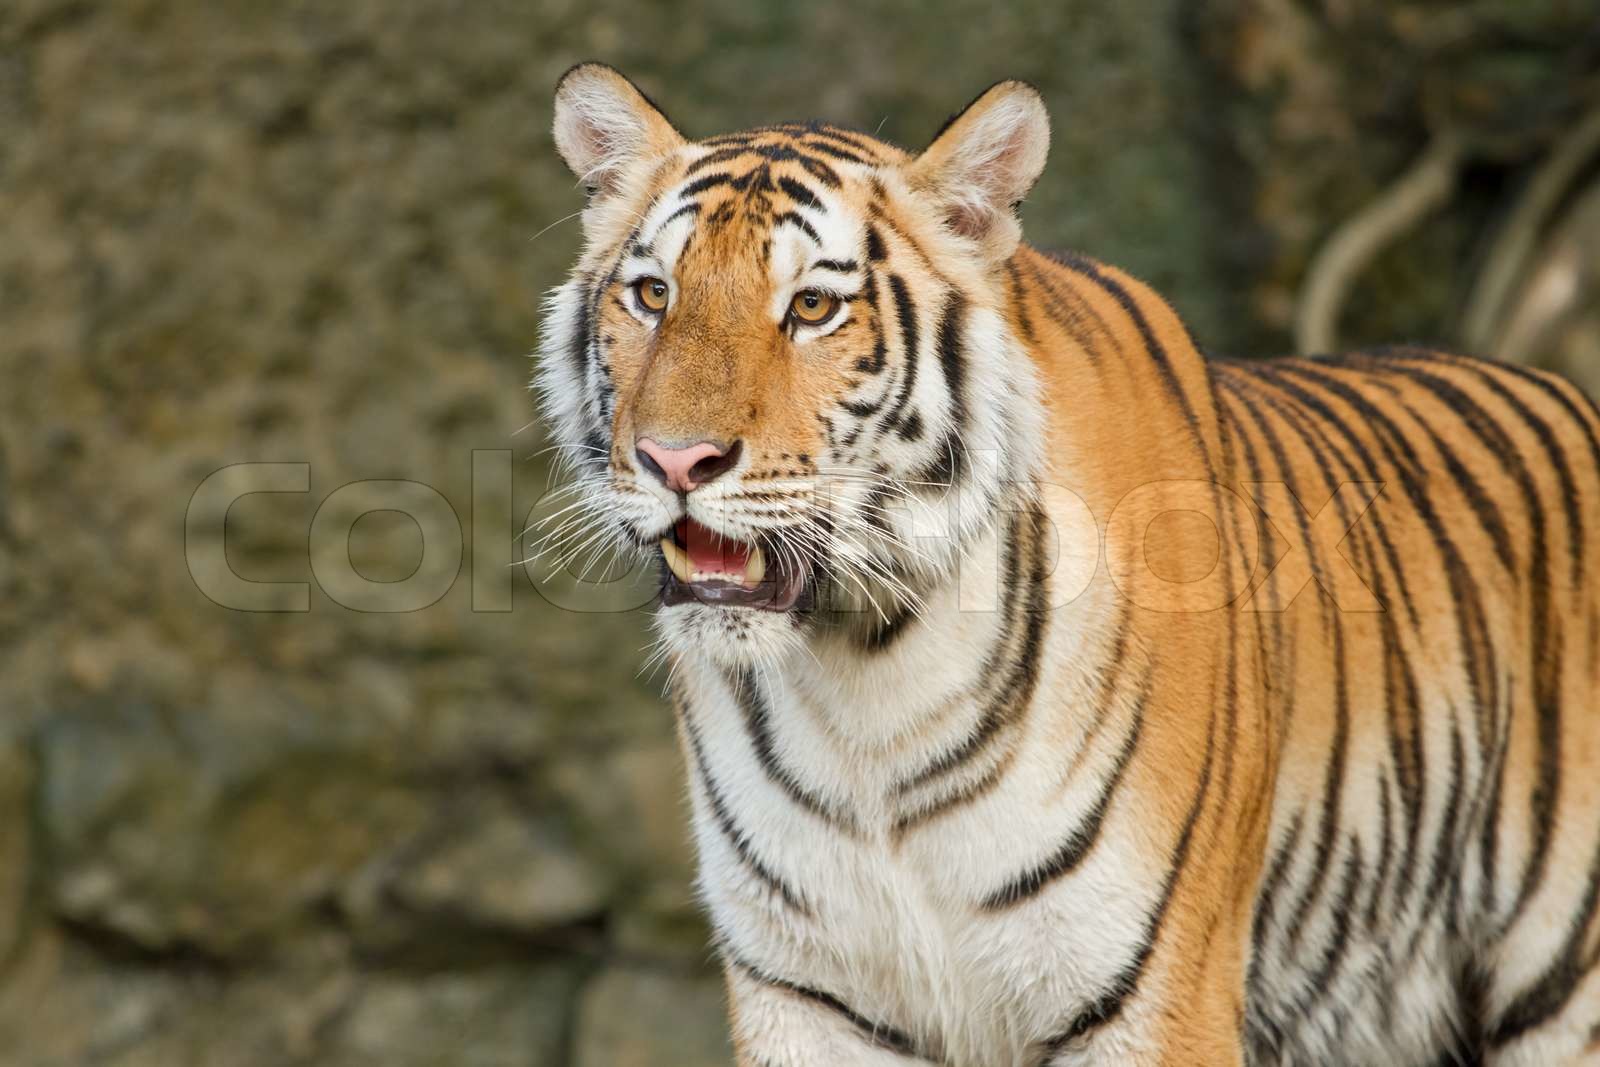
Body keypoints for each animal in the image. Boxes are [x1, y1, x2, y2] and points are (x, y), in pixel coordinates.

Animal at [533, 62, 1600, 1067]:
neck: (866, 681)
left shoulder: (1154, 997)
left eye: (812, 307)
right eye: (654, 294)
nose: (675, 460)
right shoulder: (804, 995)